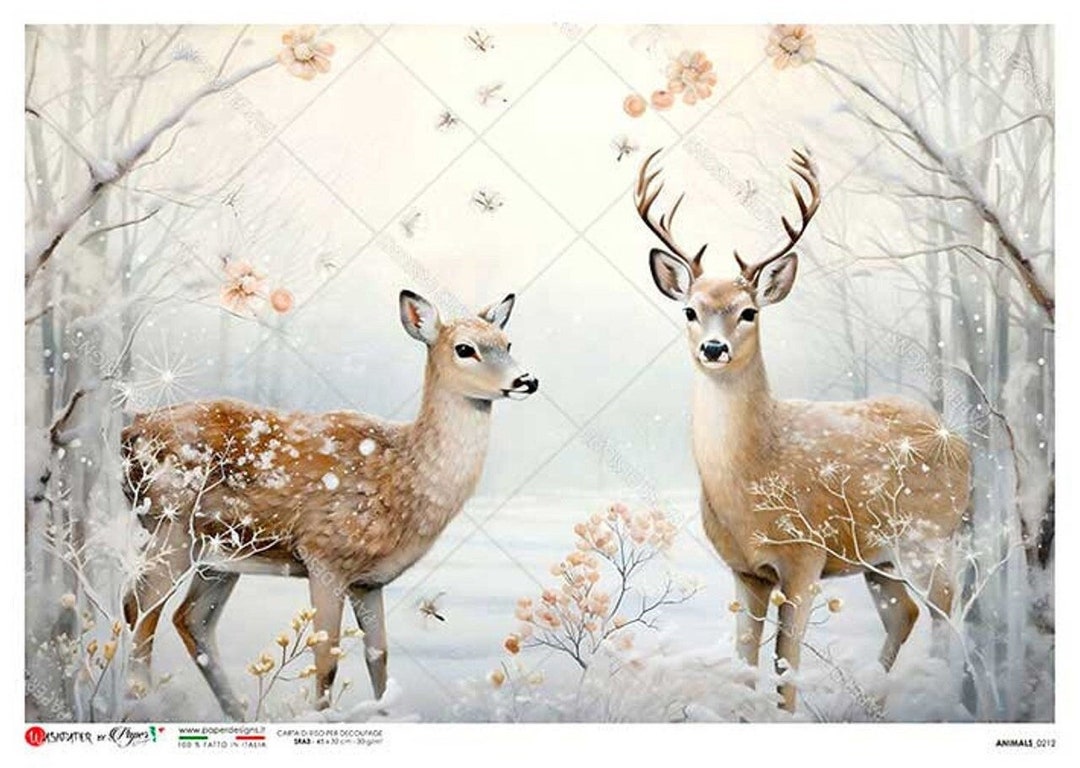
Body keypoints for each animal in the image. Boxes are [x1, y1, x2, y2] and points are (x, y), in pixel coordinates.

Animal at [120, 290, 538, 720]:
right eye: (464, 348)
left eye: (507, 343)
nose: (527, 380)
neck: (402, 475)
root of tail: (130, 432)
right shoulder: (324, 557)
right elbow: (327, 659)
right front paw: (320, 715)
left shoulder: (368, 582)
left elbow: (378, 657)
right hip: (170, 526)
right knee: (139, 607)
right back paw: (140, 701)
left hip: (221, 556)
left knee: (190, 619)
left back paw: (235, 712)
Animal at [633, 148, 971, 712]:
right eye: (690, 310)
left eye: (749, 311)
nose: (714, 348)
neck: (750, 479)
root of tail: (955, 437)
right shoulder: (745, 571)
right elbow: (746, 663)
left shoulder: (804, 559)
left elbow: (785, 669)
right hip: (878, 558)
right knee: (906, 613)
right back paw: (872, 705)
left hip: (928, 537)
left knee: (948, 612)